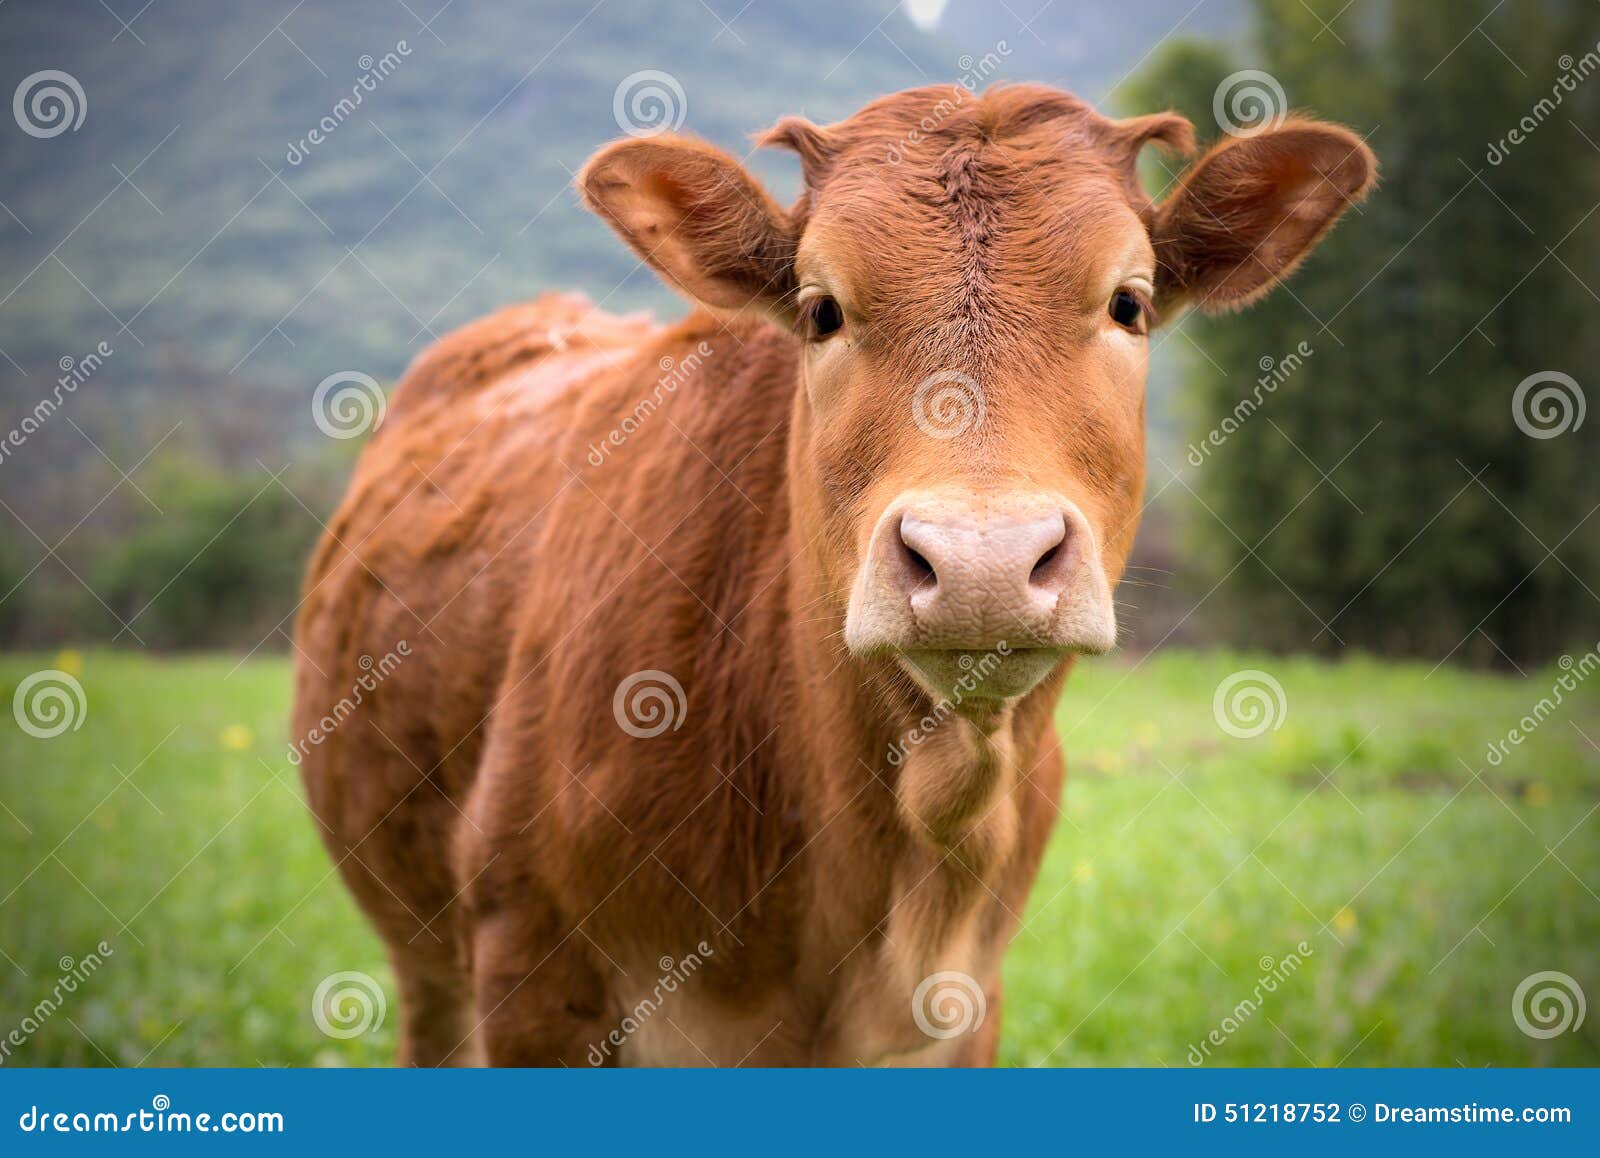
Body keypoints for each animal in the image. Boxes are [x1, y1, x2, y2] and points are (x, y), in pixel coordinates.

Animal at [292, 82, 1374, 1066]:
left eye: (1128, 303)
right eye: (820, 311)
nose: (982, 562)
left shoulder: (967, 1012)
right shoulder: (531, 971)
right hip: (430, 963)